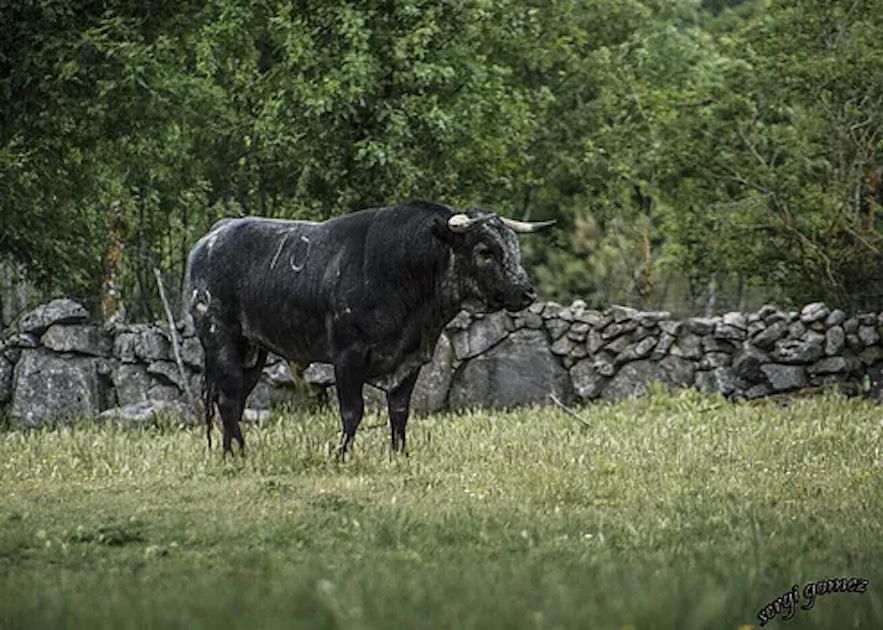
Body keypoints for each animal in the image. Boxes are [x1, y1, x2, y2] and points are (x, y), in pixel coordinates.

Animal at [184, 200, 554, 457]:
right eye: (485, 251)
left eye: (514, 247)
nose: (527, 291)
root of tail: (212, 237)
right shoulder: (348, 355)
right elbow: (353, 411)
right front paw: (342, 456)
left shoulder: (411, 359)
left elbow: (400, 412)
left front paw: (399, 455)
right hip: (220, 338)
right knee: (228, 398)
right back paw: (238, 454)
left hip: (252, 350)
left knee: (232, 398)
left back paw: (232, 451)